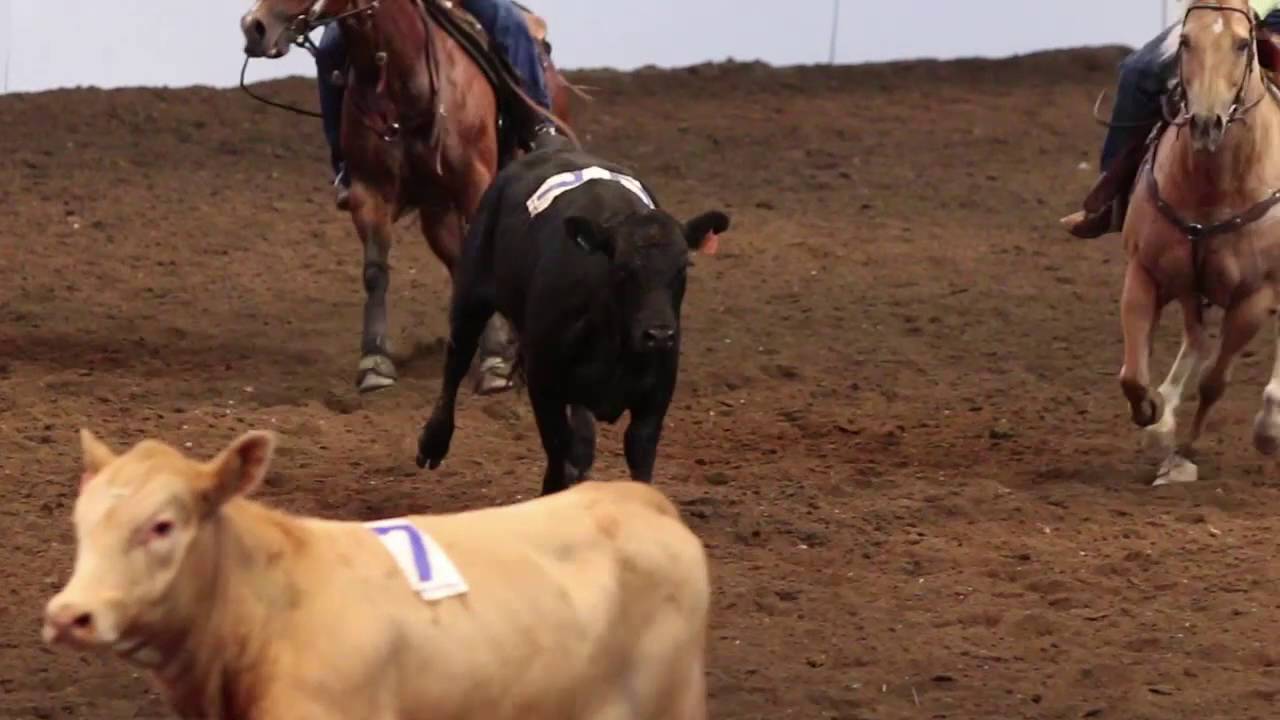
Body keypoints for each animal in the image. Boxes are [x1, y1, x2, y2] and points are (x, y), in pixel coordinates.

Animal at [415, 136, 730, 496]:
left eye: (682, 268)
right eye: (623, 269)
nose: (659, 335)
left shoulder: (656, 396)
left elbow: (639, 453)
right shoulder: (544, 383)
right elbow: (557, 446)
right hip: (471, 293)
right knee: (456, 359)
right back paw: (433, 442)